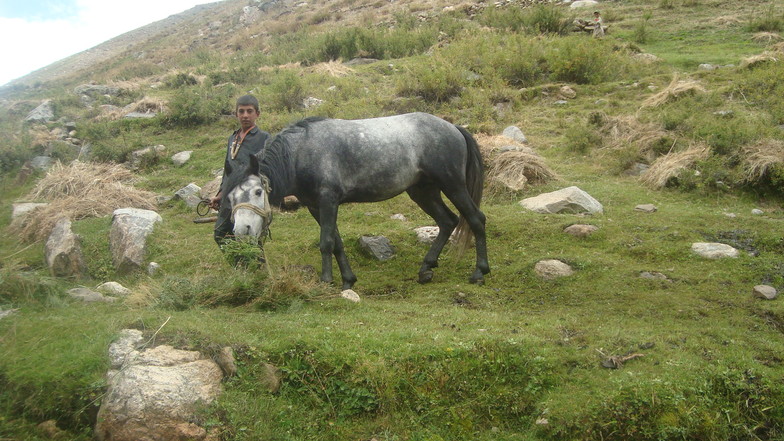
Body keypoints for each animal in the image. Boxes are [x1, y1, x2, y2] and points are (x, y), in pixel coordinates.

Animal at [222, 111, 490, 288]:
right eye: (231, 197)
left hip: (453, 185)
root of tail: (453, 128)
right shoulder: (316, 206)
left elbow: (326, 242)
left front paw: (326, 281)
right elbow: (337, 242)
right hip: (423, 191)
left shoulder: (328, 201)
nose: (242, 231)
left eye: (258, 192)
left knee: (475, 219)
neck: (299, 153)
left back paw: (479, 272)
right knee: (447, 221)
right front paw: (348, 281)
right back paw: (426, 268)